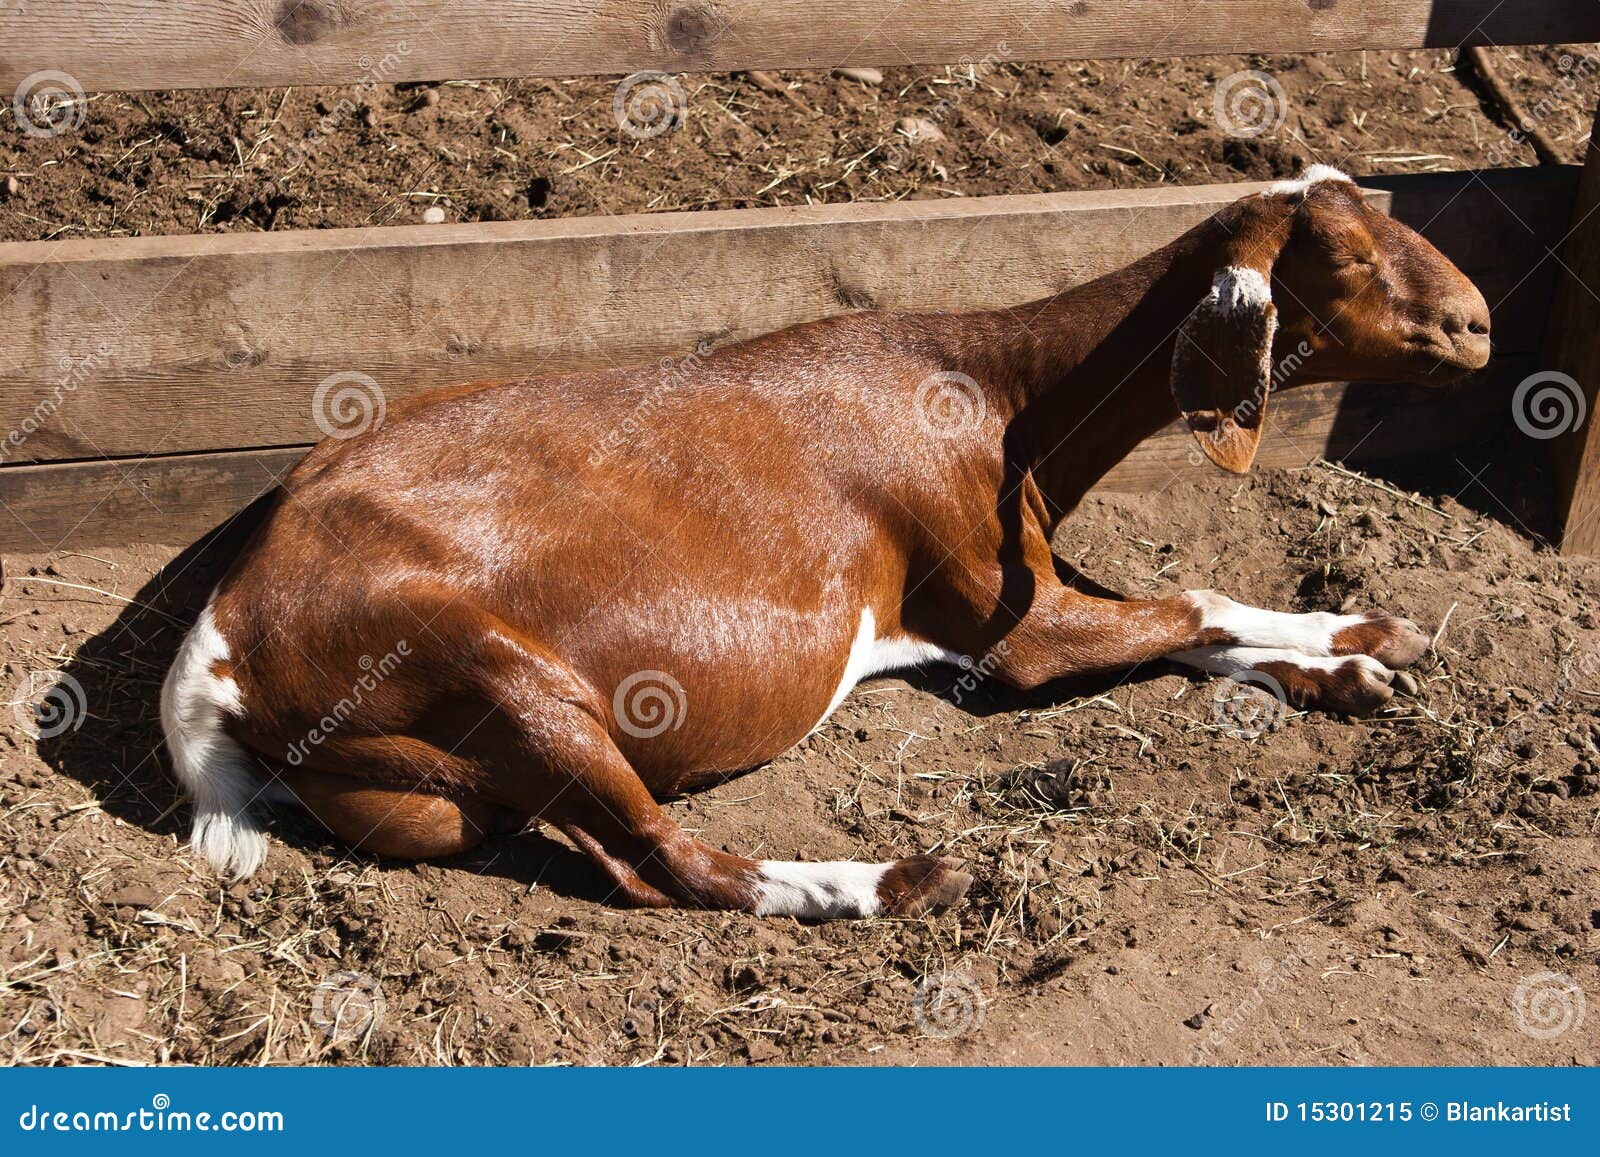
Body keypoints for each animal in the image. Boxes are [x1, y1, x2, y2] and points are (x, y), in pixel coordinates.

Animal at [161, 167, 1490, 919]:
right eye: (1351, 256)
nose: (1479, 323)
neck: (997, 392)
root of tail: (224, 635)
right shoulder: (998, 619)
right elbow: (1193, 602)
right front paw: (1356, 646)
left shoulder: (1002, 594)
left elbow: (1179, 617)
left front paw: (1355, 649)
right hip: (488, 668)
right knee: (660, 859)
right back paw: (897, 881)